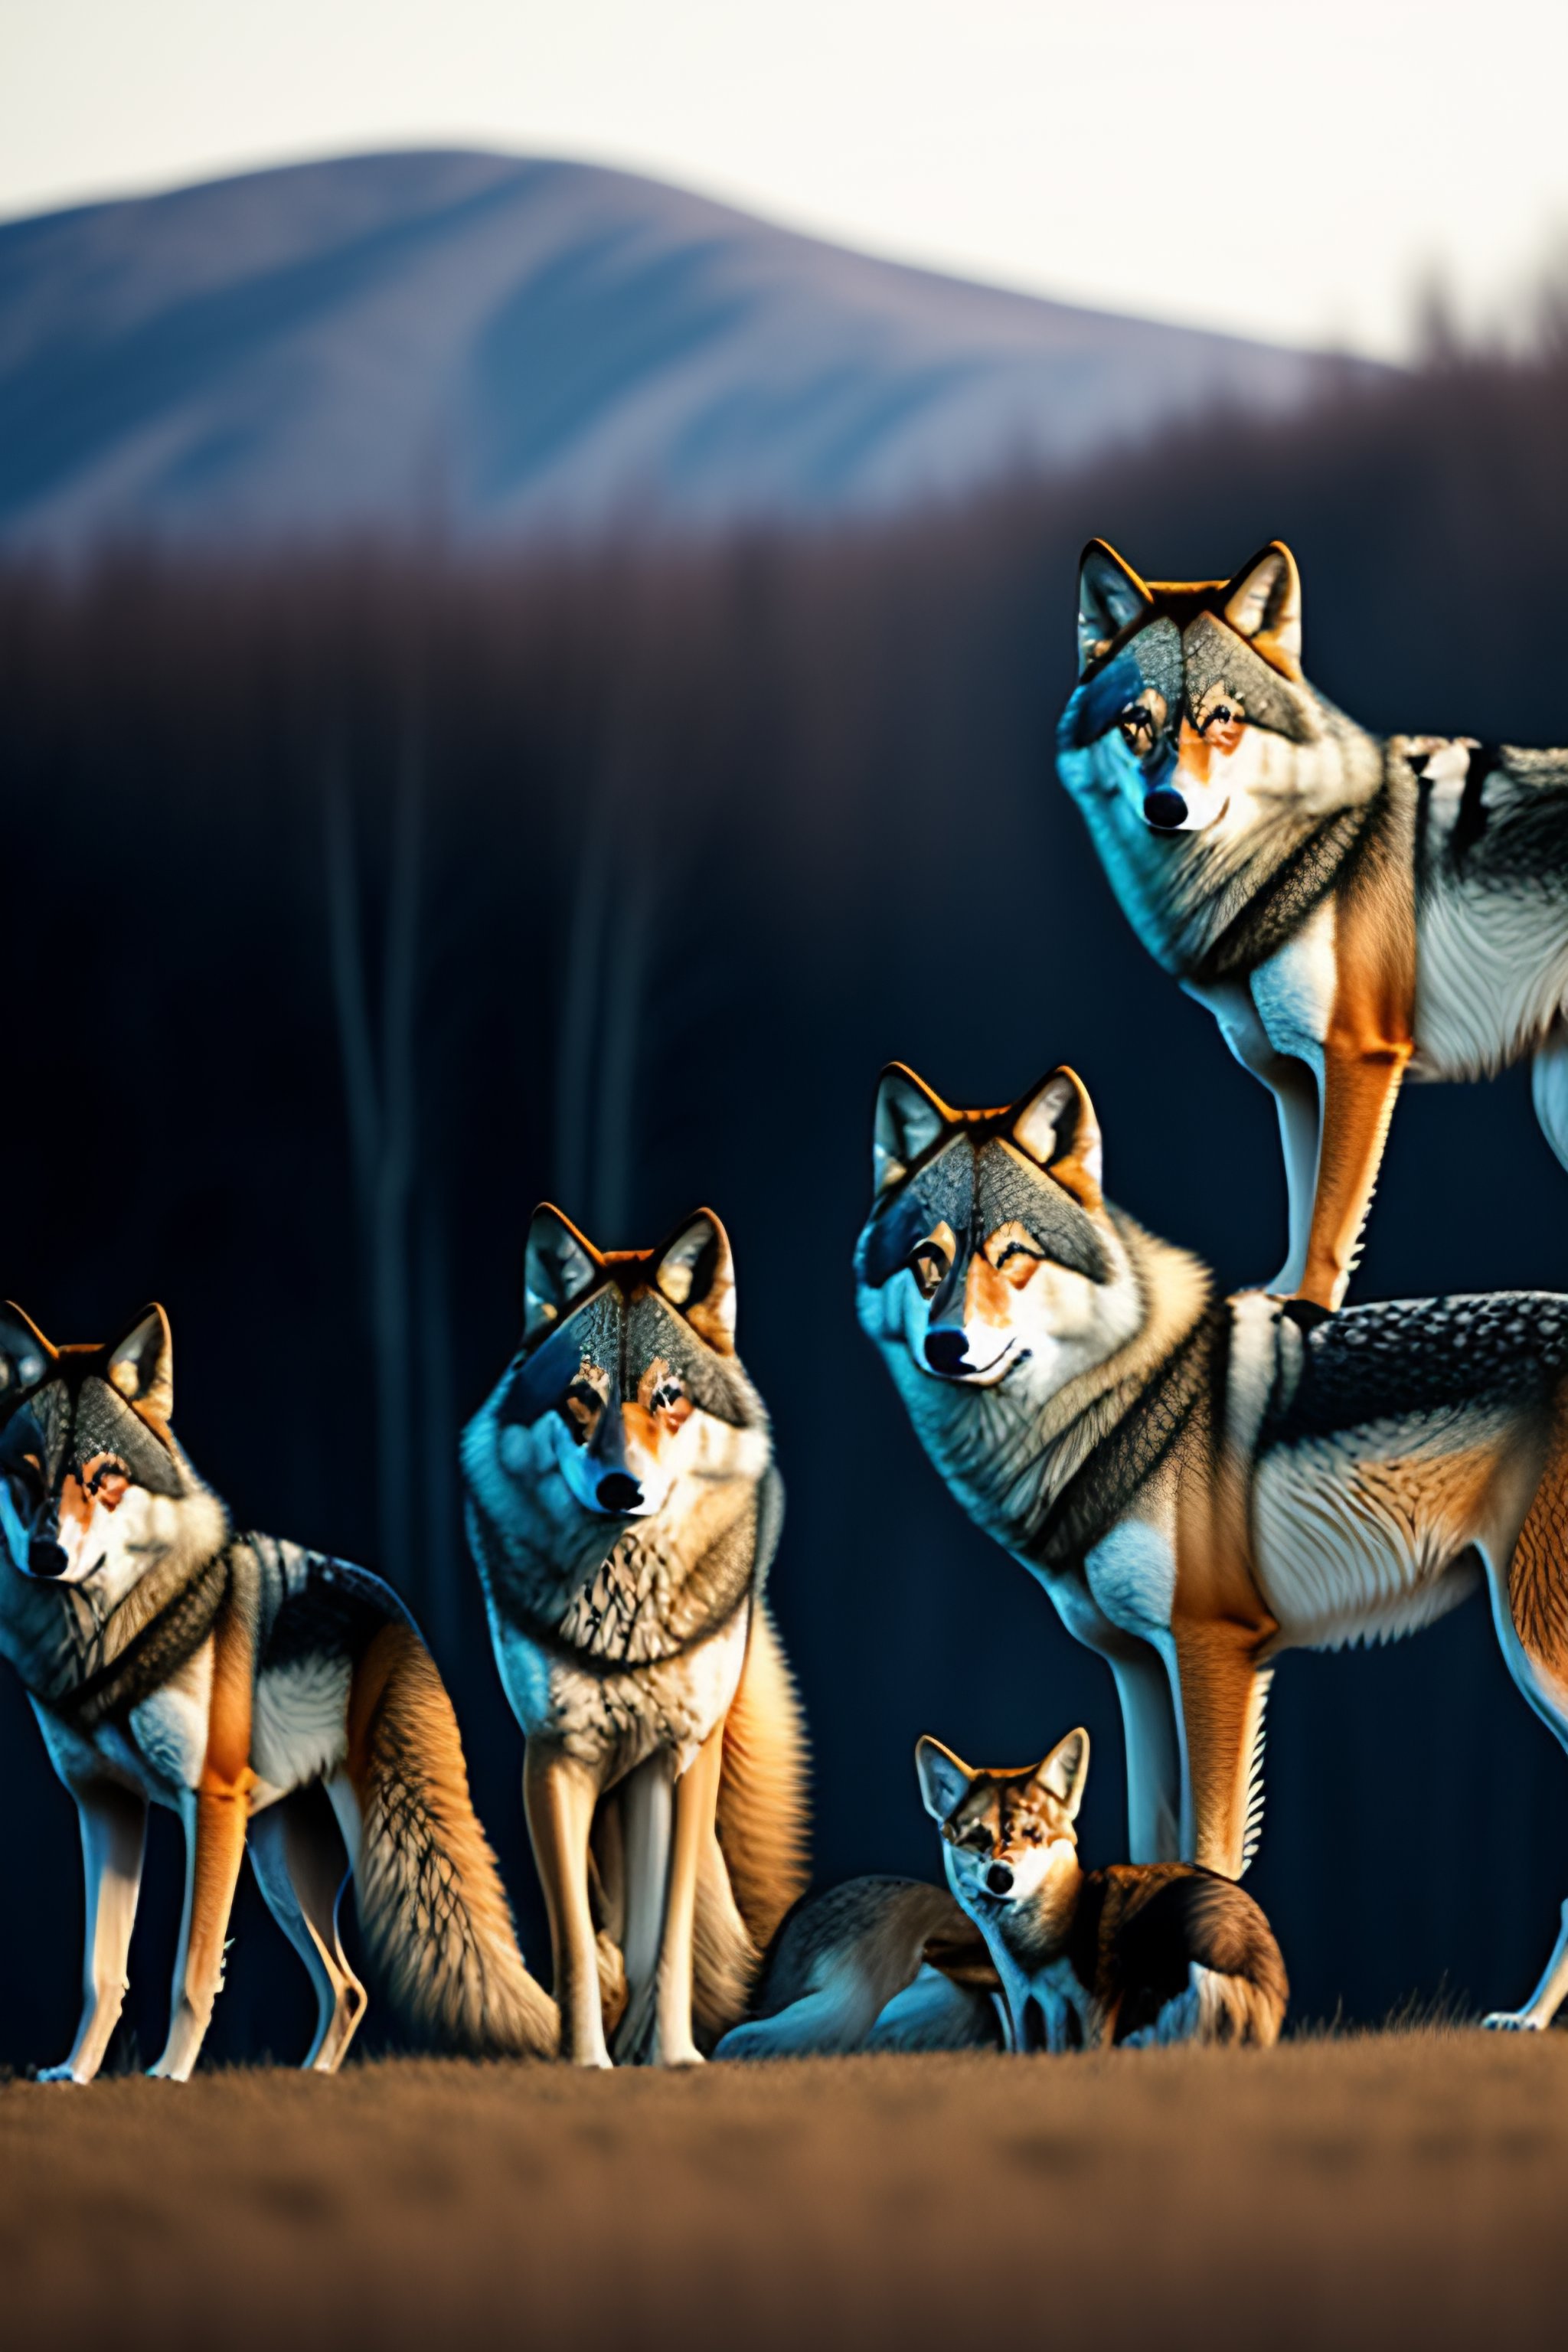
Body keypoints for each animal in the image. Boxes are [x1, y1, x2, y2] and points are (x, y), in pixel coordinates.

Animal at [0, 1301, 555, 2082]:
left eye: (104, 1477)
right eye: (26, 1475)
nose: (46, 1555)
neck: (104, 1646)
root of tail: (395, 1608)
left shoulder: (208, 1803)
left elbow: (192, 1971)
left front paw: (169, 2076)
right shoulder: (104, 1808)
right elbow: (101, 1973)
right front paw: (75, 2076)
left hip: (373, 1848)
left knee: (394, 1965)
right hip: (278, 1867)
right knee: (348, 1987)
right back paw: (313, 2080)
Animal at [461, 1203, 809, 2067]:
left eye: (668, 1395)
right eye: (580, 1398)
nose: (623, 1489)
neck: (624, 1624)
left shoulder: (684, 1761)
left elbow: (668, 1934)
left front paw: (673, 2055)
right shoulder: (554, 1761)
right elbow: (577, 1946)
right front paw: (589, 2060)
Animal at [1057, 537, 1568, 1312]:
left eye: (1223, 716)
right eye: (1136, 722)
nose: (1167, 806)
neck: (1295, 857)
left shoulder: (1359, 1056)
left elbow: (1329, 1228)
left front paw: (1308, 1311)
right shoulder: (1293, 1076)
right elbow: (1300, 1219)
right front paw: (1274, 1308)